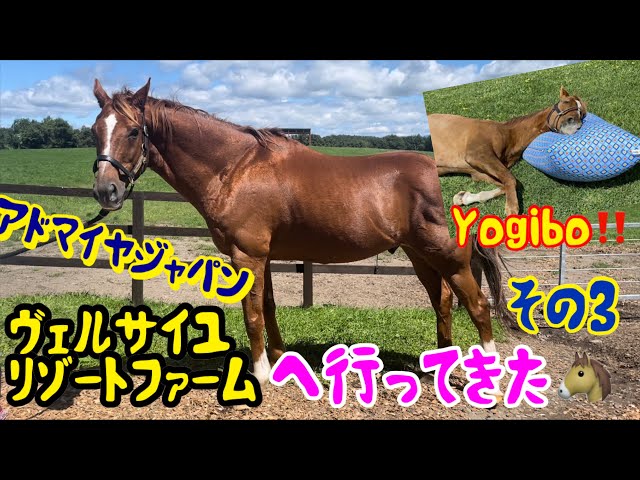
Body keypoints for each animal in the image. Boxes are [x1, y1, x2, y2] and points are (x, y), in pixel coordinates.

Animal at [90, 78, 514, 385]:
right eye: (95, 130)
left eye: (133, 132)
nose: (105, 190)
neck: (236, 169)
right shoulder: (263, 255)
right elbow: (269, 307)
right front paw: (279, 360)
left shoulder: (247, 255)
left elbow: (252, 312)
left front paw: (261, 372)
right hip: (419, 254)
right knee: (442, 301)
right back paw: (436, 366)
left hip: (448, 256)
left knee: (477, 306)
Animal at [429, 86, 587, 216]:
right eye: (565, 102)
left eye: (582, 113)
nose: (576, 127)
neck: (509, 134)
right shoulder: (478, 156)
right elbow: (511, 180)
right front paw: (512, 209)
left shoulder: (478, 172)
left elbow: (509, 184)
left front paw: (463, 197)